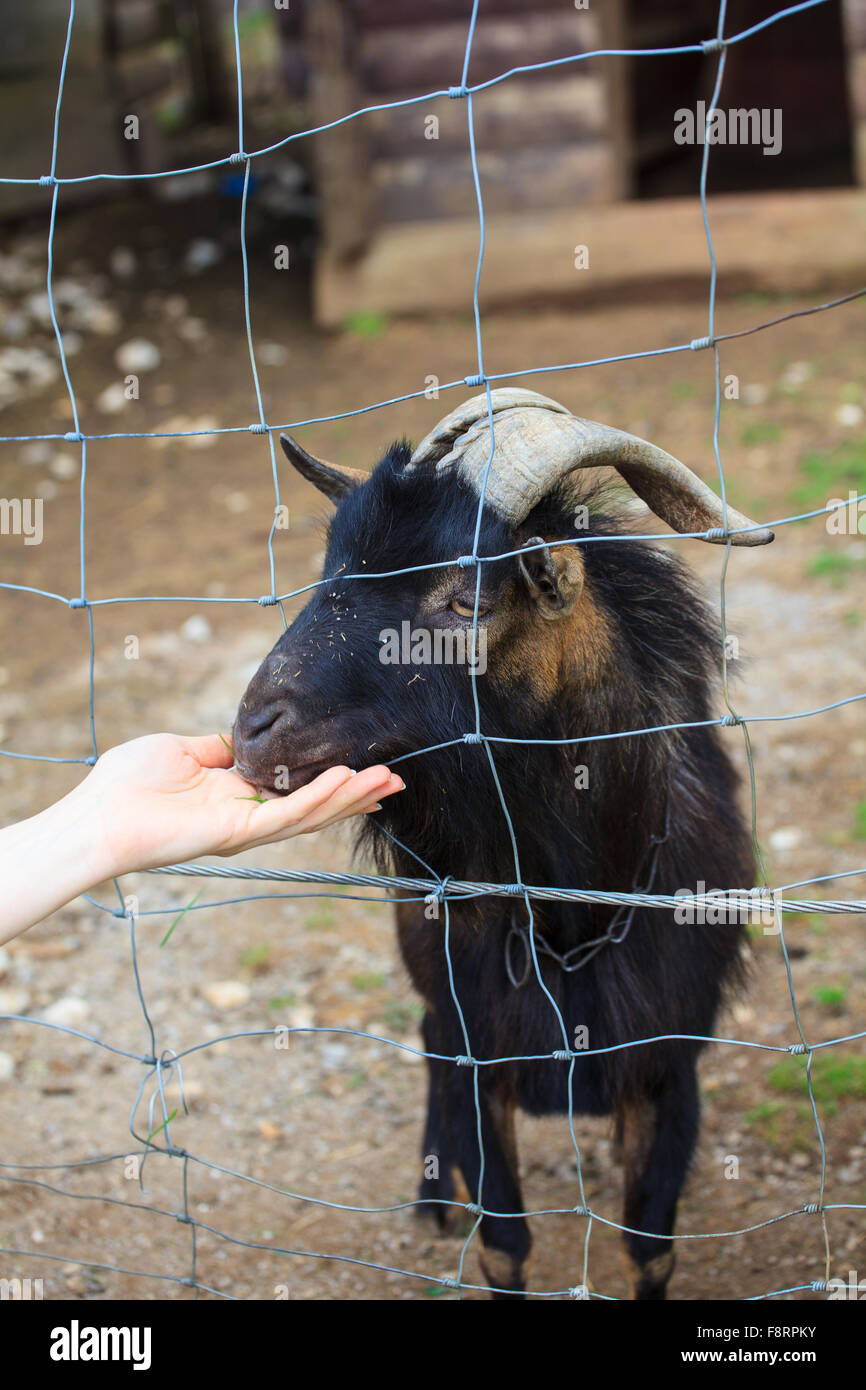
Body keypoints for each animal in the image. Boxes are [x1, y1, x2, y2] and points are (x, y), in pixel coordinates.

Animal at [232, 388, 773, 1299]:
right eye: (333, 565)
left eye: (468, 602)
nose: (251, 733)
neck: (572, 922)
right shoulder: (480, 1051)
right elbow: (503, 1244)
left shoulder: (669, 1066)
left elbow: (650, 1248)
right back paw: (431, 1196)